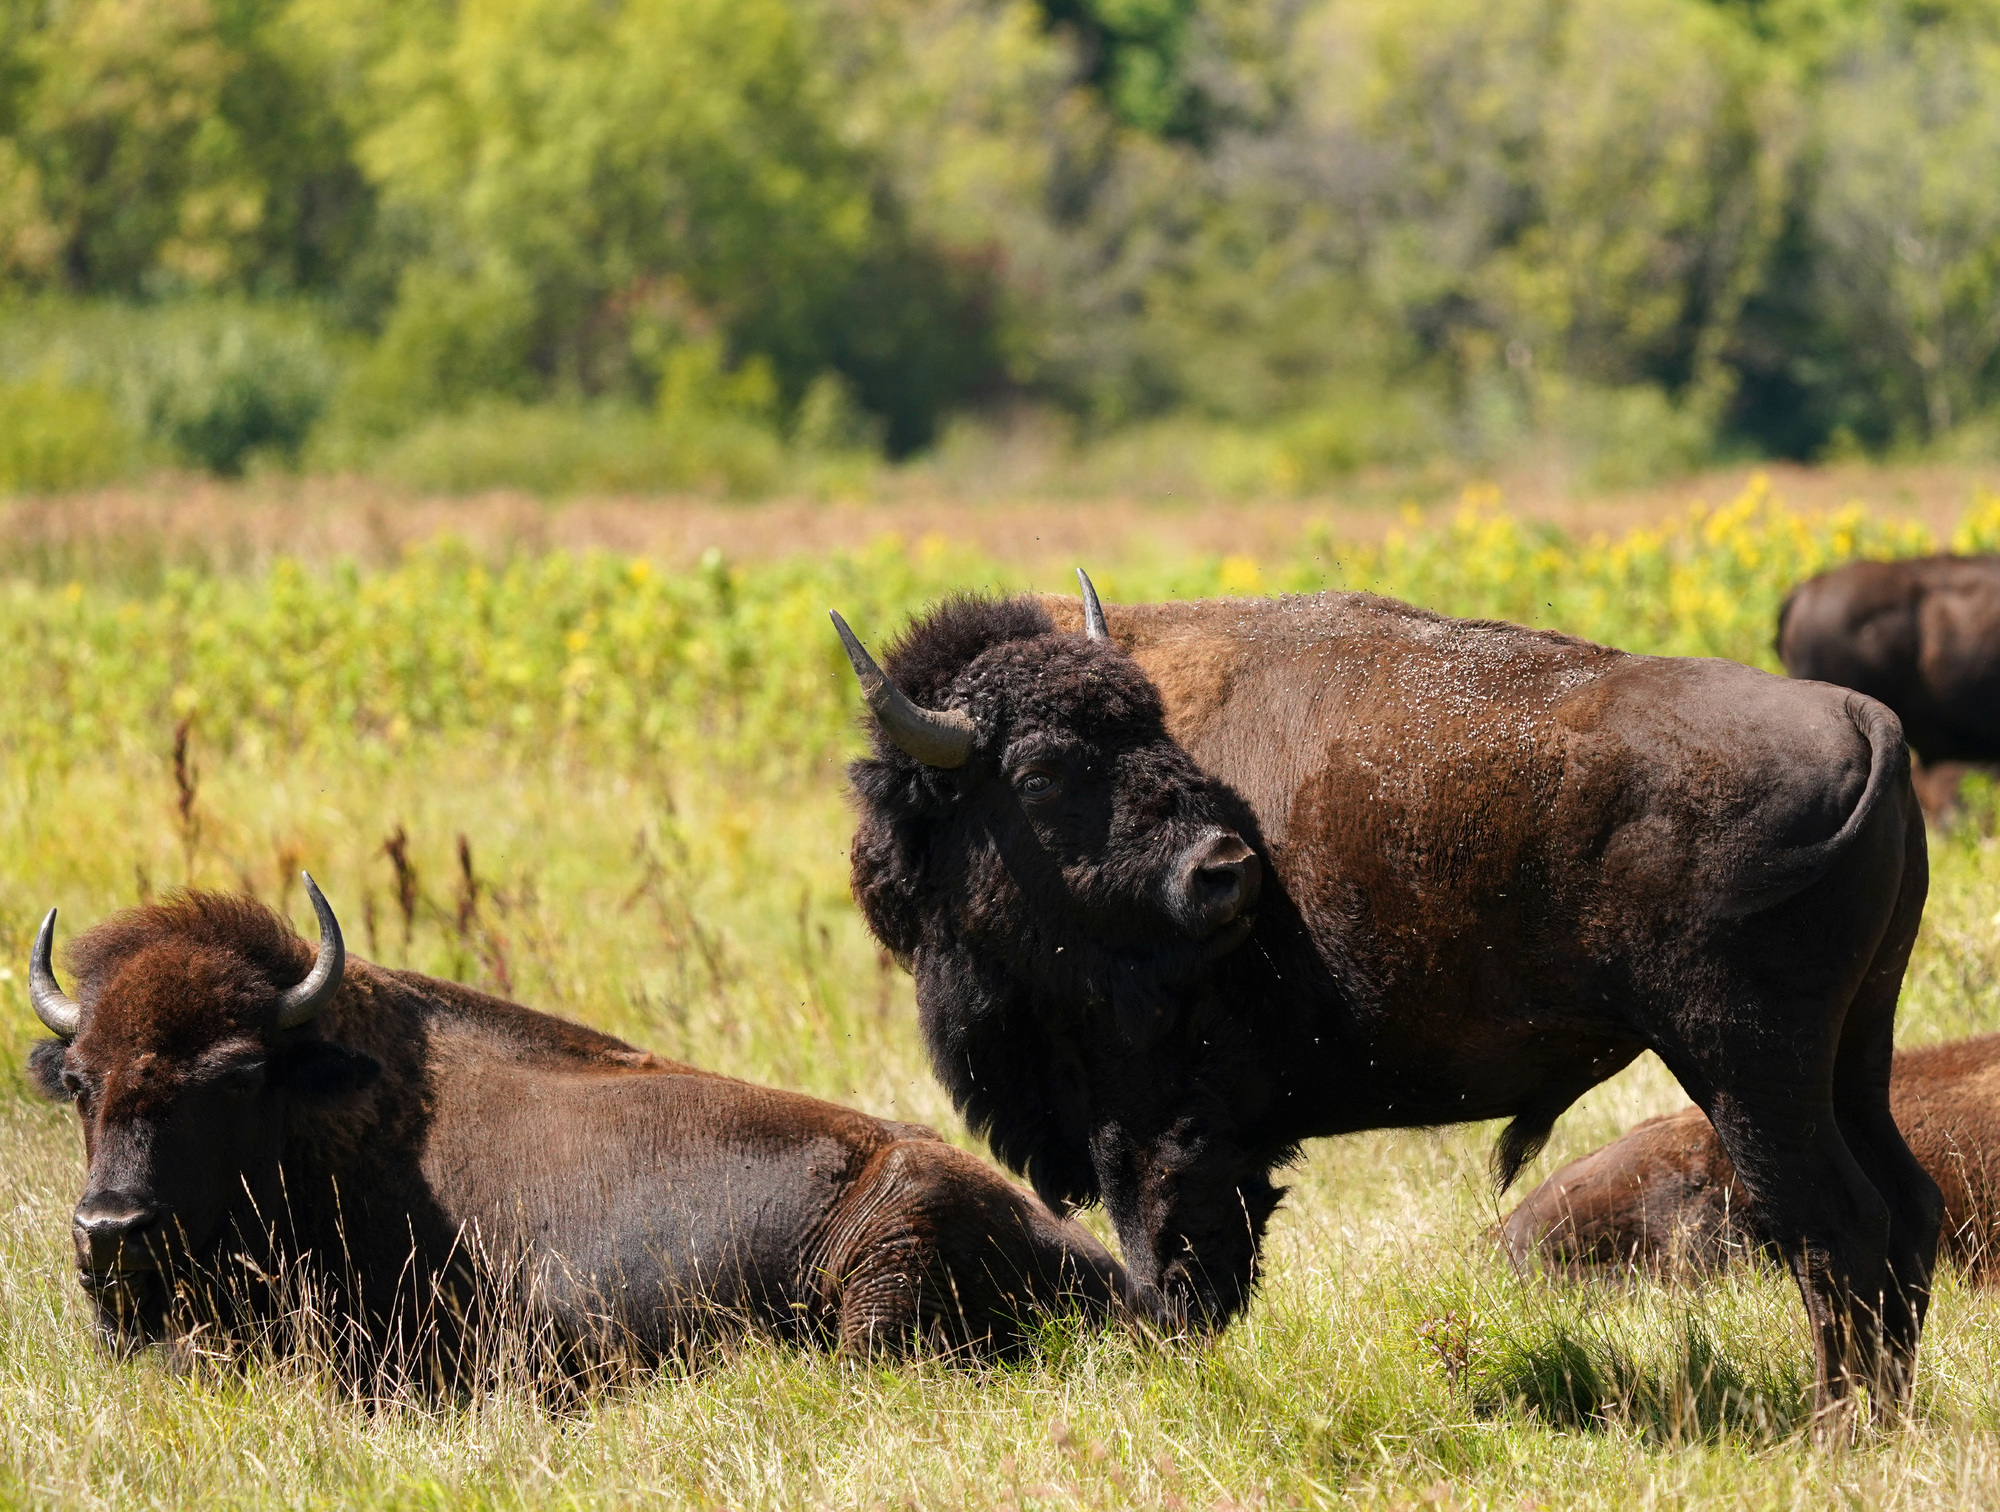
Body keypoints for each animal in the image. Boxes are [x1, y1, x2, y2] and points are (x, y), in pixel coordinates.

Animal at [834, 577, 1937, 1418]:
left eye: (1144, 736)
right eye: (1039, 772)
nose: (1224, 872)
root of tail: (1862, 719)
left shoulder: (1151, 1123)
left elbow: (1173, 1268)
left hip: (1743, 1065)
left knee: (1834, 1229)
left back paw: (1829, 1434)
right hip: (1853, 1047)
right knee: (1907, 1208)